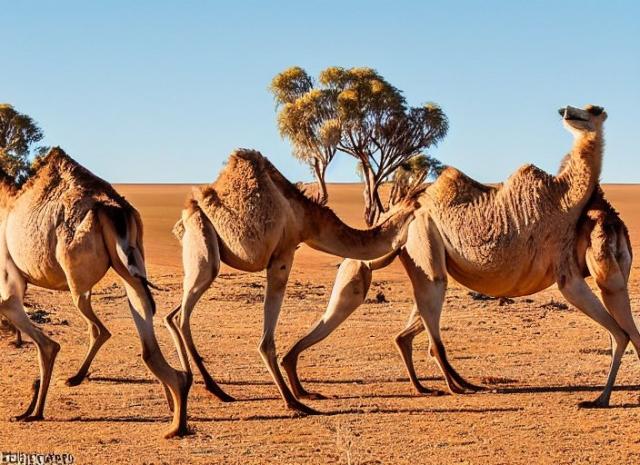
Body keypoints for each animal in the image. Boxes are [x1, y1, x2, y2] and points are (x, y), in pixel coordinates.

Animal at [0, 148, 191, 438]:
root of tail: (113, 210)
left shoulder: (9, 277)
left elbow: (15, 308)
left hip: (76, 271)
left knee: (92, 329)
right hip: (130, 257)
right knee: (140, 311)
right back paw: (176, 407)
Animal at [163, 149, 418, 414]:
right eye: (417, 207)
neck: (307, 219)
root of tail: (185, 216)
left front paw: (301, 395)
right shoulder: (283, 255)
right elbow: (266, 341)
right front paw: (293, 401)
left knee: (172, 315)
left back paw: (188, 390)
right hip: (203, 239)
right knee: (183, 316)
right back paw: (213, 389)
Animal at [283, 105, 639, 408]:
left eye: (593, 110)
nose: (566, 111)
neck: (569, 197)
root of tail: (409, 202)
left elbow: (625, 331)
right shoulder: (566, 268)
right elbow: (618, 330)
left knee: (403, 322)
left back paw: (429, 386)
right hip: (422, 236)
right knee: (429, 307)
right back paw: (459, 385)